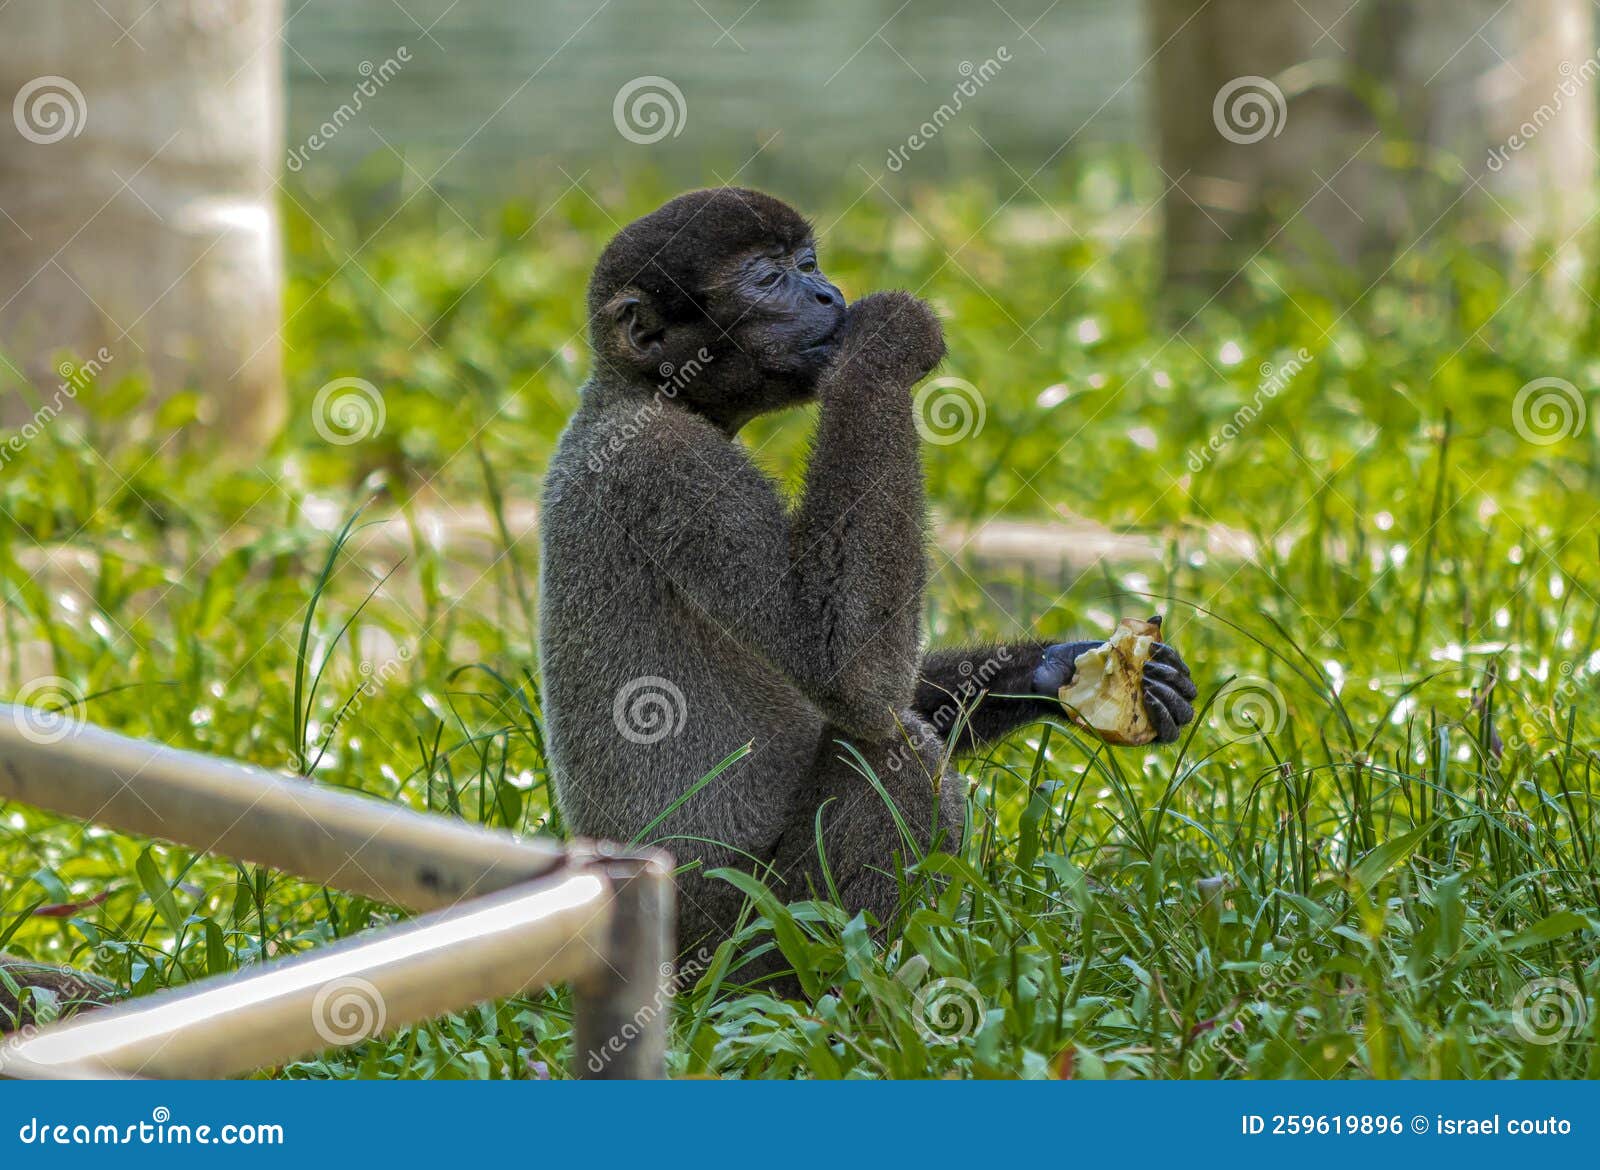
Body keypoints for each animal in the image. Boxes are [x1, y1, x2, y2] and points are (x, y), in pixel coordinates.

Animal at [537, 188, 1196, 975]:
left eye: (808, 264)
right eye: (769, 278)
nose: (829, 292)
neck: (642, 393)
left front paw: (1061, 668)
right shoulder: (670, 464)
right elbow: (853, 679)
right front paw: (887, 337)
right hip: (743, 931)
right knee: (892, 750)